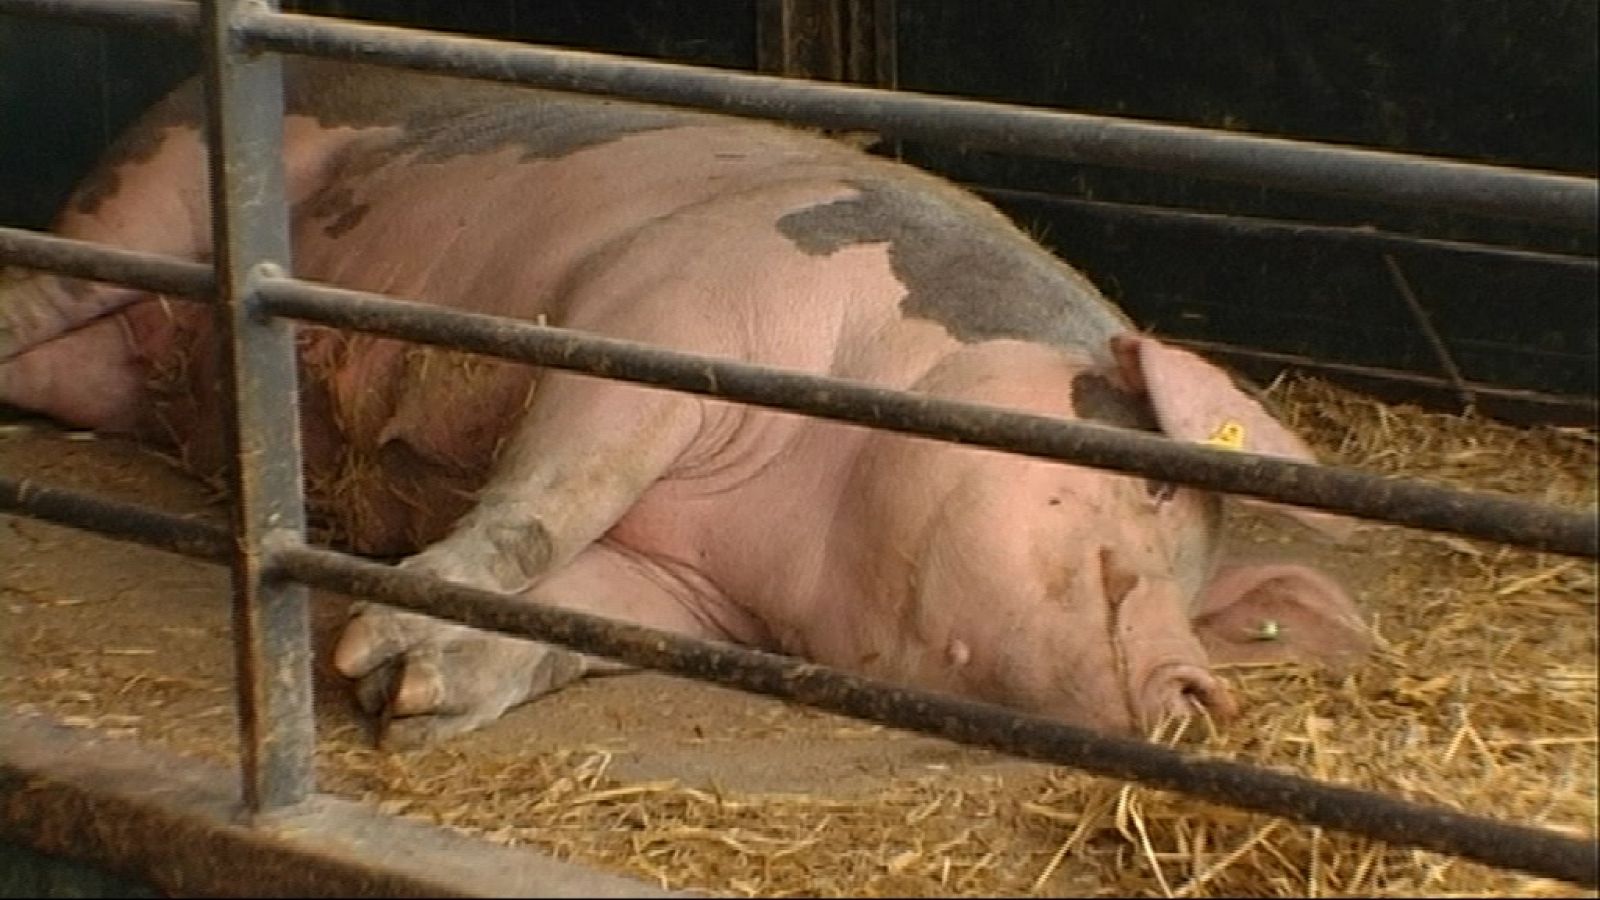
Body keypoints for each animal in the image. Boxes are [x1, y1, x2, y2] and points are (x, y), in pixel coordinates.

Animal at [0, 59, 1370, 748]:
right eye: (1150, 484)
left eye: (1207, 595)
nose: (1201, 687)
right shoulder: (667, 318)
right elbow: (552, 500)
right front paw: (367, 653)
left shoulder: (699, 598)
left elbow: (576, 619)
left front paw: (409, 698)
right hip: (146, 203)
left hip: (112, 368)